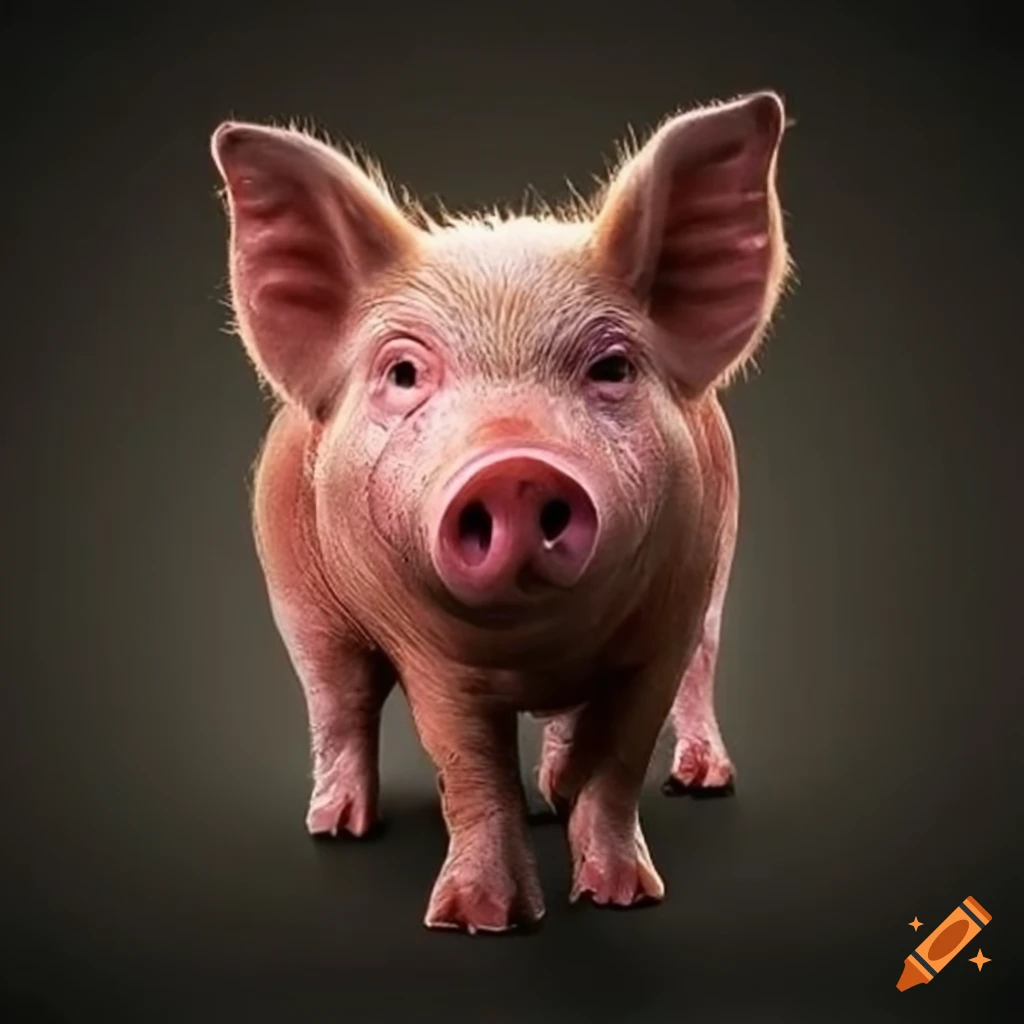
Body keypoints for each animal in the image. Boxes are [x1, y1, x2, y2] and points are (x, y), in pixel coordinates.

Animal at [210, 90, 790, 934]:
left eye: (612, 366)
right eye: (404, 371)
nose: (515, 468)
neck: (537, 644)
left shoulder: (671, 615)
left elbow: (622, 752)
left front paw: (623, 896)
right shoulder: (426, 648)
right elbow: (469, 765)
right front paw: (480, 919)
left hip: (716, 580)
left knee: (697, 670)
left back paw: (674, 783)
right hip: (300, 601)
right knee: (337, 699)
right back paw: (339, 826)